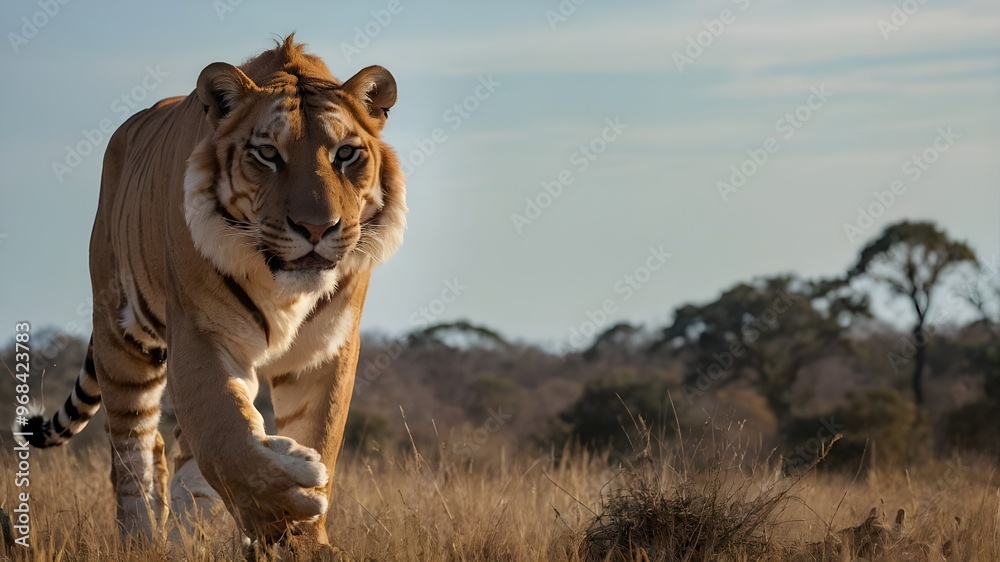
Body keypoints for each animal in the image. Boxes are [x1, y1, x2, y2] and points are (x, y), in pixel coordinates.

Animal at [23, 35, 406, 551]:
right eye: (268, 154)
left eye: (345, 154)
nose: (316, 228)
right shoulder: (202, 335)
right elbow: (226, 436)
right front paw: (284, 505)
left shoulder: (325, 348)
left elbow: (316, 431)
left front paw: (304, 539)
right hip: (122, 341)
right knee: (132, 450)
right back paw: (142, 542)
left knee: (178, 456)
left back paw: (186, 541)